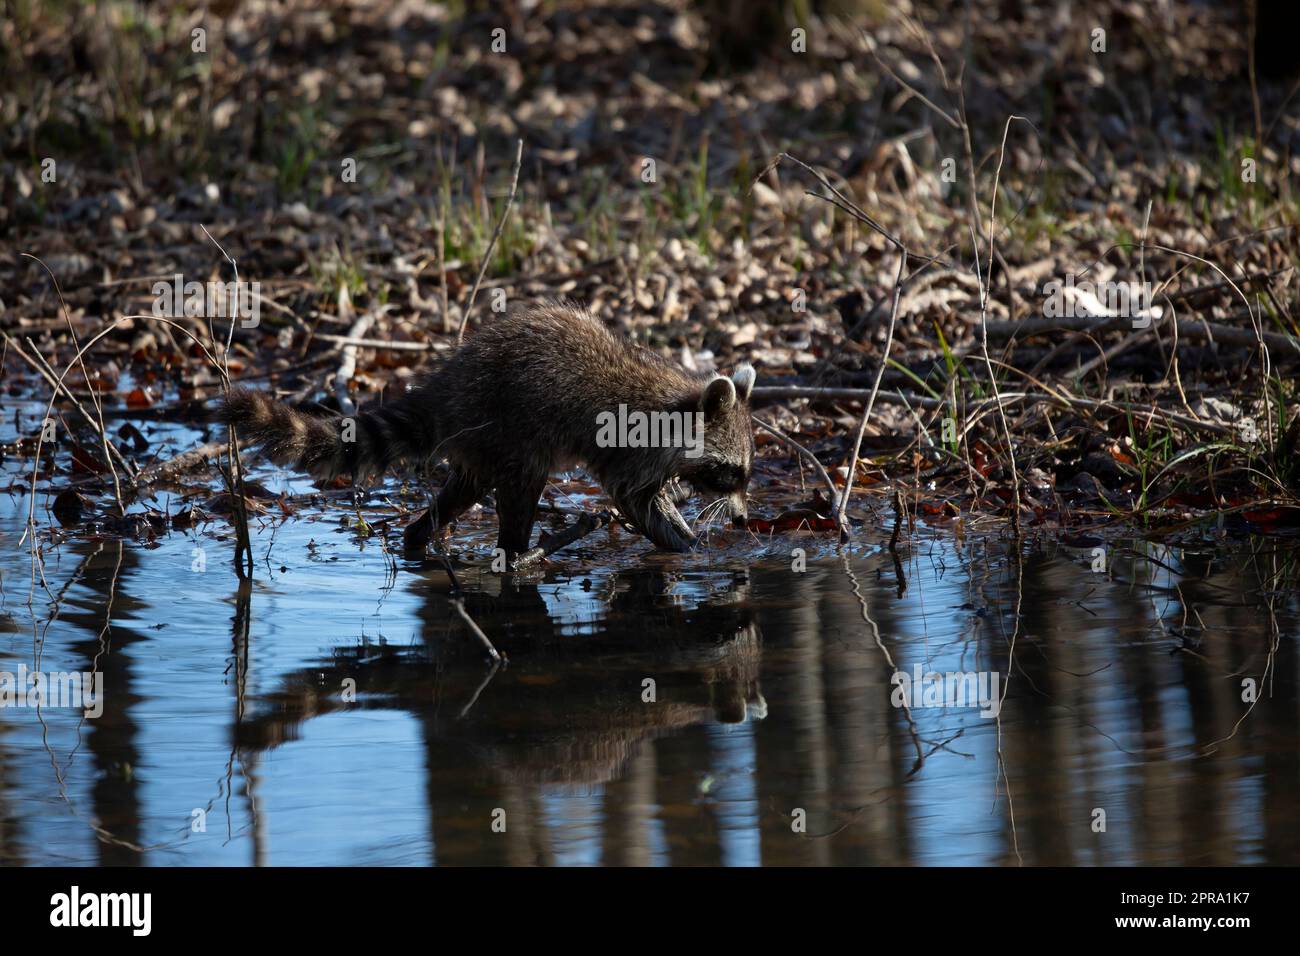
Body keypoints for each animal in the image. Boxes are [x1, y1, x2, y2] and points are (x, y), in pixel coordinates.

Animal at [219, 301, 756, 559]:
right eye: (732, 473)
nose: (744, 519)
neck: (678, 404)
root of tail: (446, 385)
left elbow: (655, 497)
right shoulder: (631, 447)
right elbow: (636, 500)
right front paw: (687, 546)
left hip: (478, 442)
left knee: (461, 492)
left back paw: (419, 536)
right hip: (509, 427)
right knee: (522, 488)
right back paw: (523, 554)